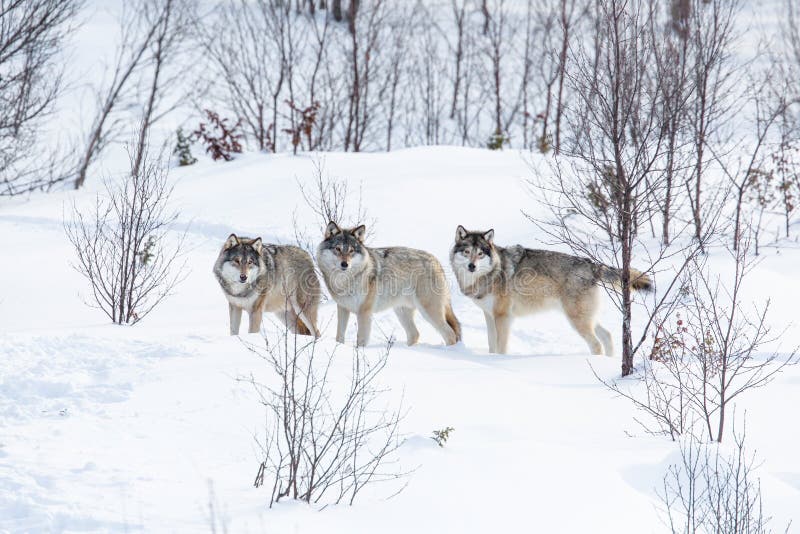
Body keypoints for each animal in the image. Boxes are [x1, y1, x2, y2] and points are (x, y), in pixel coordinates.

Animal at [316, 222, 461, 347]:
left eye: (351, 250)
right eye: (338, 249)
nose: (344, 264)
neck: (344, 281)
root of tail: (435, 260)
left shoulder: (364, 312)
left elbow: (361, 340)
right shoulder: (342, 308)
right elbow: (339, 336)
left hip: (428, 311)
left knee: (450, 334)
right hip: (402, 312)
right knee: (415, 334)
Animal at [449, 226, 652, 355]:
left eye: (480, 253)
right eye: (467, 252)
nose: (472, 266)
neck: (490, 274)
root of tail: (592, 265)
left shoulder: (503, 317)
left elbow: (501, 347)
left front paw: (499, 361)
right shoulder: (489, 315)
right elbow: (491, 344)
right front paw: (490, 360)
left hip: (577, 320)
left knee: (596, 344)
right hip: (586, 318)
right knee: (608, 336)